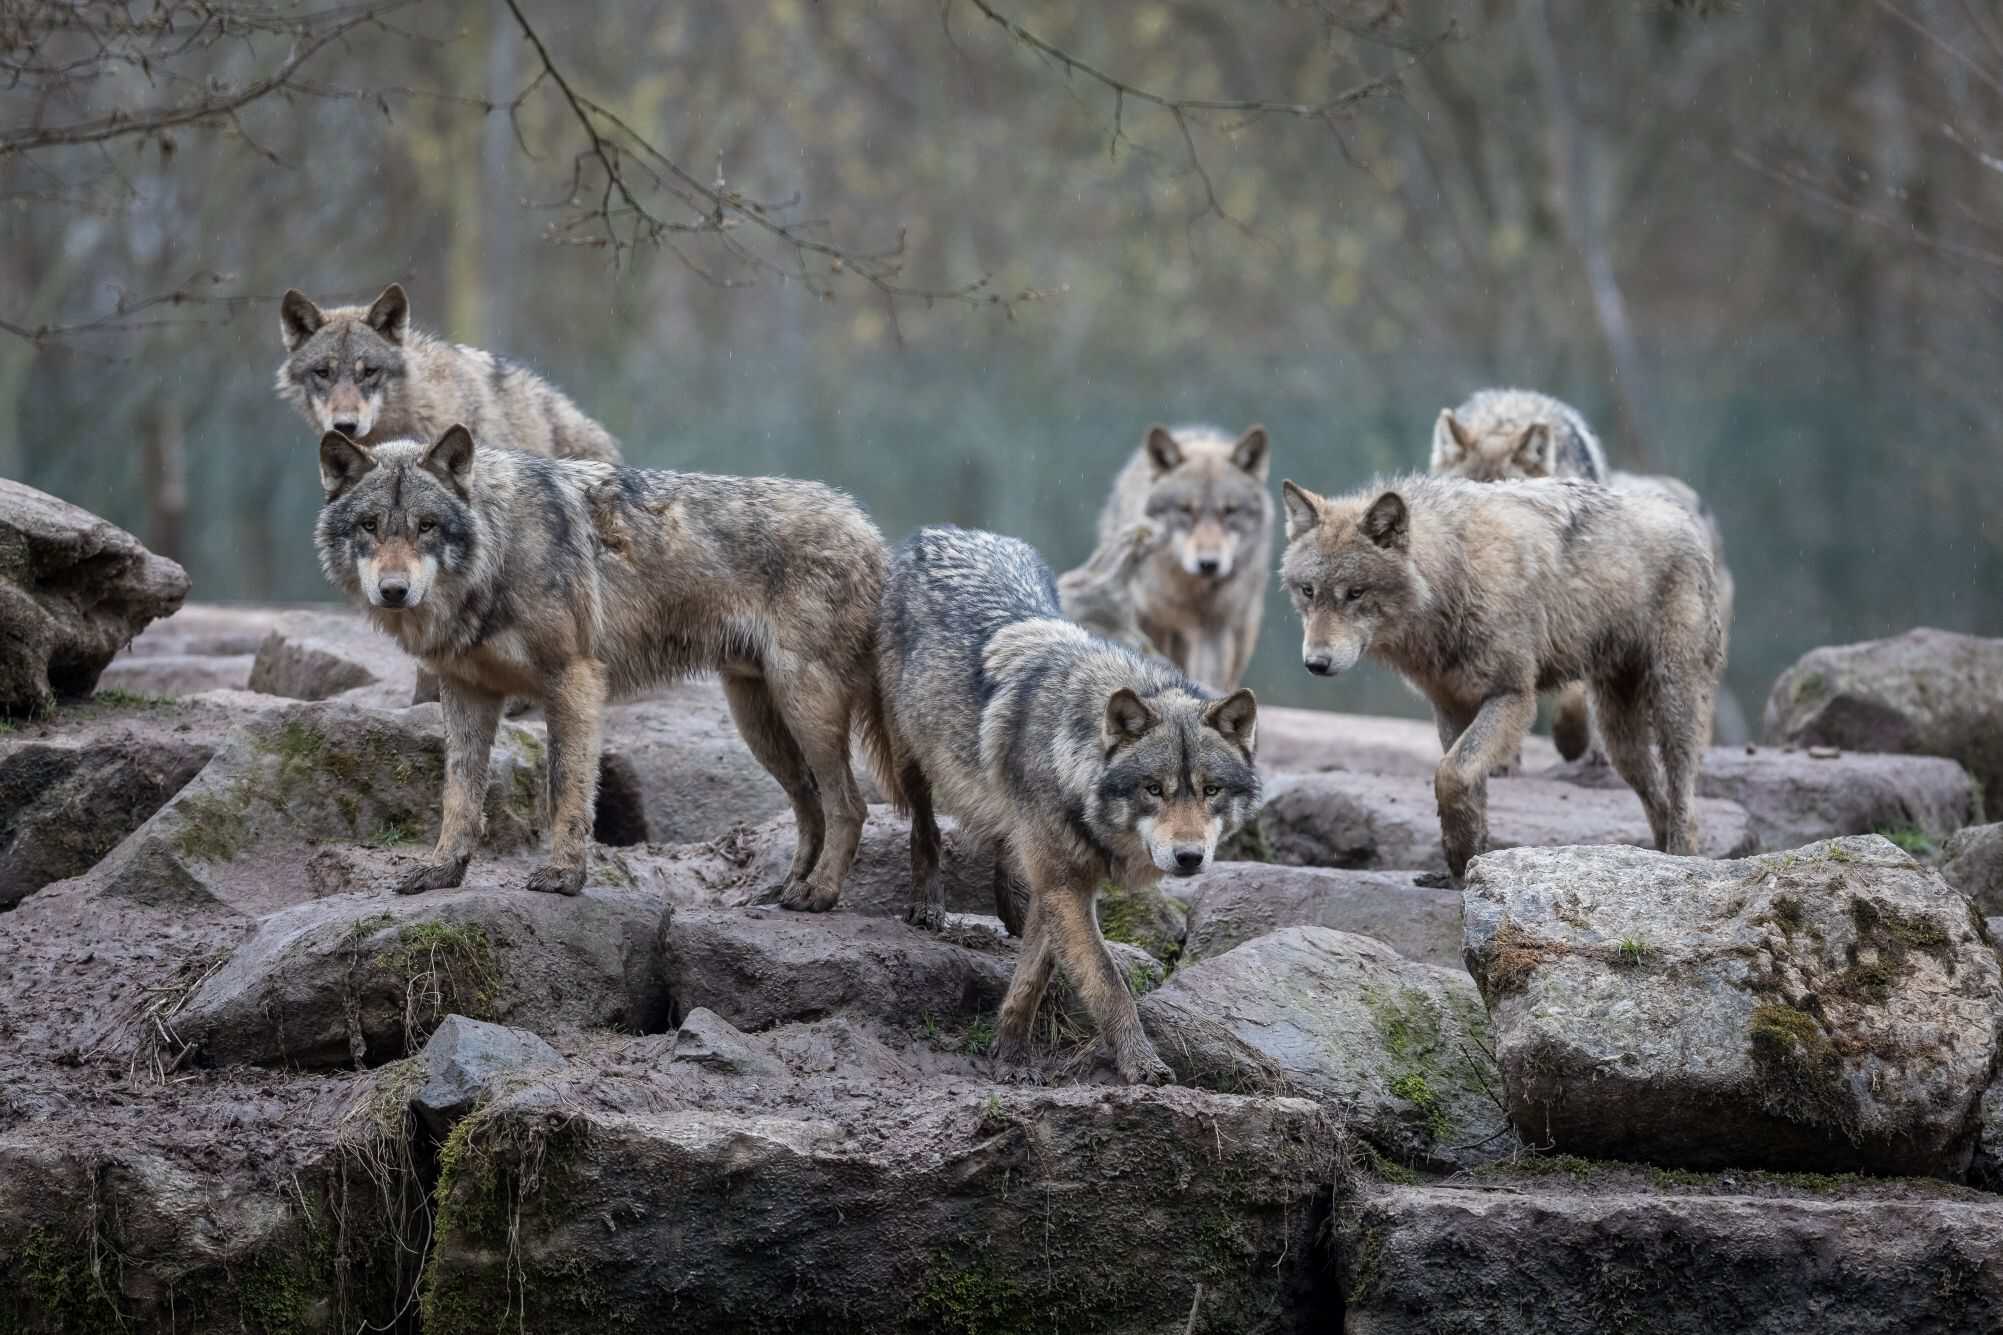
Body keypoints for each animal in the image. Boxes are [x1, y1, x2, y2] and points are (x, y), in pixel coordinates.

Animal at [313, 425, 888, 906]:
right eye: (370, 526)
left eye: (427, 526)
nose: (393, 591)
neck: (499, 552)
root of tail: (868, 527)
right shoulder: (465, 691)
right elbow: (459, 794)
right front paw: (442, 871)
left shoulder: (574, 679)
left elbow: (566, 785)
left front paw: (565, 876)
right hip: (758, 722)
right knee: (811, 803)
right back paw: (787, 887)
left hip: (803, 705)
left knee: (848, 804)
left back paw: (819, 894)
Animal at [876, 525, 1261, 1083]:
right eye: (1154, 789)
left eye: (1210, 790)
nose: (1189, 858)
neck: (1070, 757)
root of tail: (946, 531)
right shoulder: (1065, 886)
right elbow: (1106, 980)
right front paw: (1139, 1063)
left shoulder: (1062, 885)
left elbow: (1034, 973)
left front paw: (1009, 1051)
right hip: (912, 756)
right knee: (925, 827)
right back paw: (928, 904)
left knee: (1007, 852)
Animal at [1093, 425, 1273, 692]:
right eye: (1185, 510)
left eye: (1229, 511)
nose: (1208, 564)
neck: (1189, 592)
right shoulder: (1150, 621)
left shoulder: (1213, 629)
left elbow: (1210, 676)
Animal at [1280, 474, 1723, 881]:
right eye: (1308, 591)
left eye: (1355, 593)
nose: (1315, 663)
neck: (1455, 575)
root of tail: (1683, 515)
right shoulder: (1451, 705)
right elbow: (1466, 784)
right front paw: (1466, 865)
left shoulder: (1513, 697)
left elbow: (1452, 773)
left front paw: (1462, 856)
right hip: (1620, 740)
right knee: (1658, 799)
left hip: (1671, 704)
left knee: (1684, 798)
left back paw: (1682, 861)